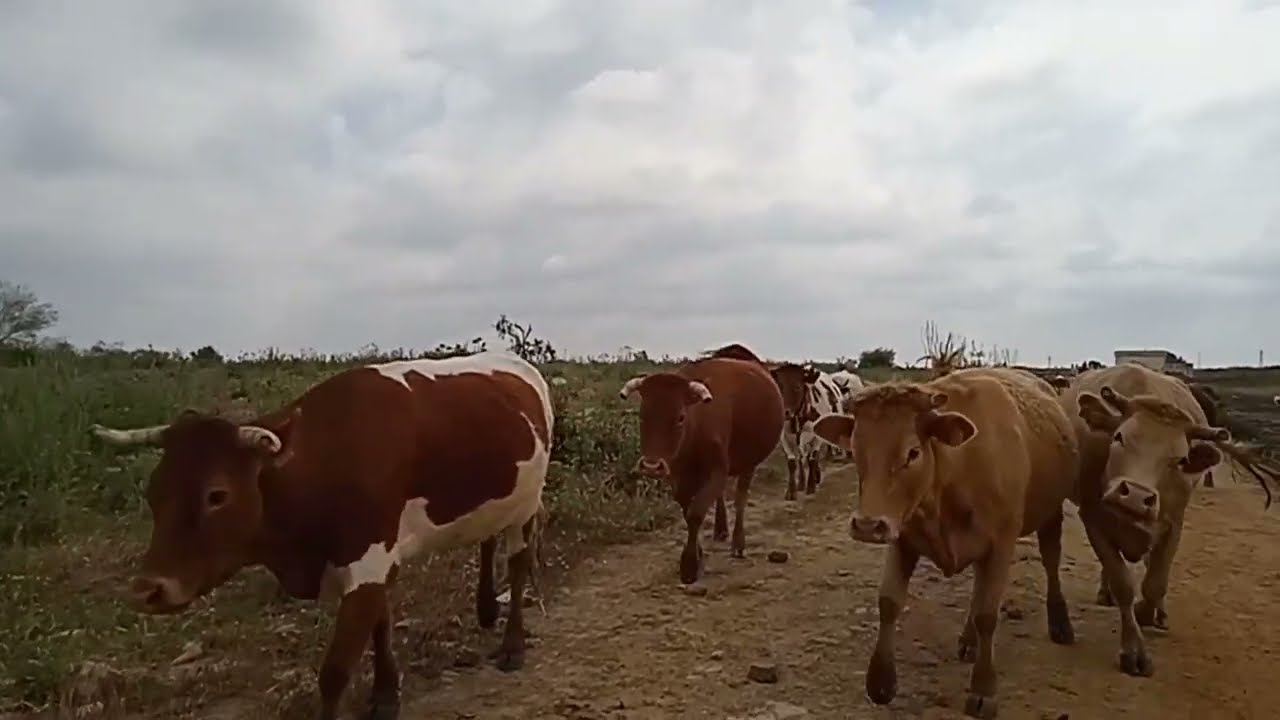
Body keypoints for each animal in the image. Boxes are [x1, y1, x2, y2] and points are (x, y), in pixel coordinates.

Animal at [89, 351, 553, 720]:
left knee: (518, 564)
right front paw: (386, 693)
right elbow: (381, 625)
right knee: (487, 539)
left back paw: (512, 644)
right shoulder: (377, 561)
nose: (148, 590)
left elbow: (334, 673)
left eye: (216, 494)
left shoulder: (368, 562)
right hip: (499, 497)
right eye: (153, 491)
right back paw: (486, 610)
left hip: (528, 504)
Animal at [618, 345, 784, 584]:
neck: (695, 429)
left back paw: (737, 543)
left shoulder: (718, 470)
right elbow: (689, 512)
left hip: (749, 463)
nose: (651, 466)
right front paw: (698, 555)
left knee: (741, 498)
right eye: (642, 416)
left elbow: (696, 513)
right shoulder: (678, 476)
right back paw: (720, 529)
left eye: (680, 417)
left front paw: (690, 564)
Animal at [768, 363, 845, 500]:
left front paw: (811, 486)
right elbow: (792, 462)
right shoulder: (784, 437)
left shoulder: (817, 437)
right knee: (801, 457)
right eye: (779, 387)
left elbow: (812, 459)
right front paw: (791, 491)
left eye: (797, 387)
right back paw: (802, 482)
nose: (785, 412)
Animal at [812, 366, 1080, 719]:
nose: (868, 526)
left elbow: (988, 616)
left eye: (912, 452)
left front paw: (983, 689)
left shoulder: (1001, 545)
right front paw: (881, 682)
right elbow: (889, 603)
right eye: (856, 449)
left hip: (1051, 514)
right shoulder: (902, 538)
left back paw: (1059, 623)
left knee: (1050, 562)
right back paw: (969, 640)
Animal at [1058, 363, 1275, 679]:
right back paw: (1106, 592)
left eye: (1181, 460)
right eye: (1119, 437)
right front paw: (1134, 650)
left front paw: (1147, 612)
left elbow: (1155, 583)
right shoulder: (1093, 516)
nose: (1136, 496)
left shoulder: (1172, 524)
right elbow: (1122, 582)